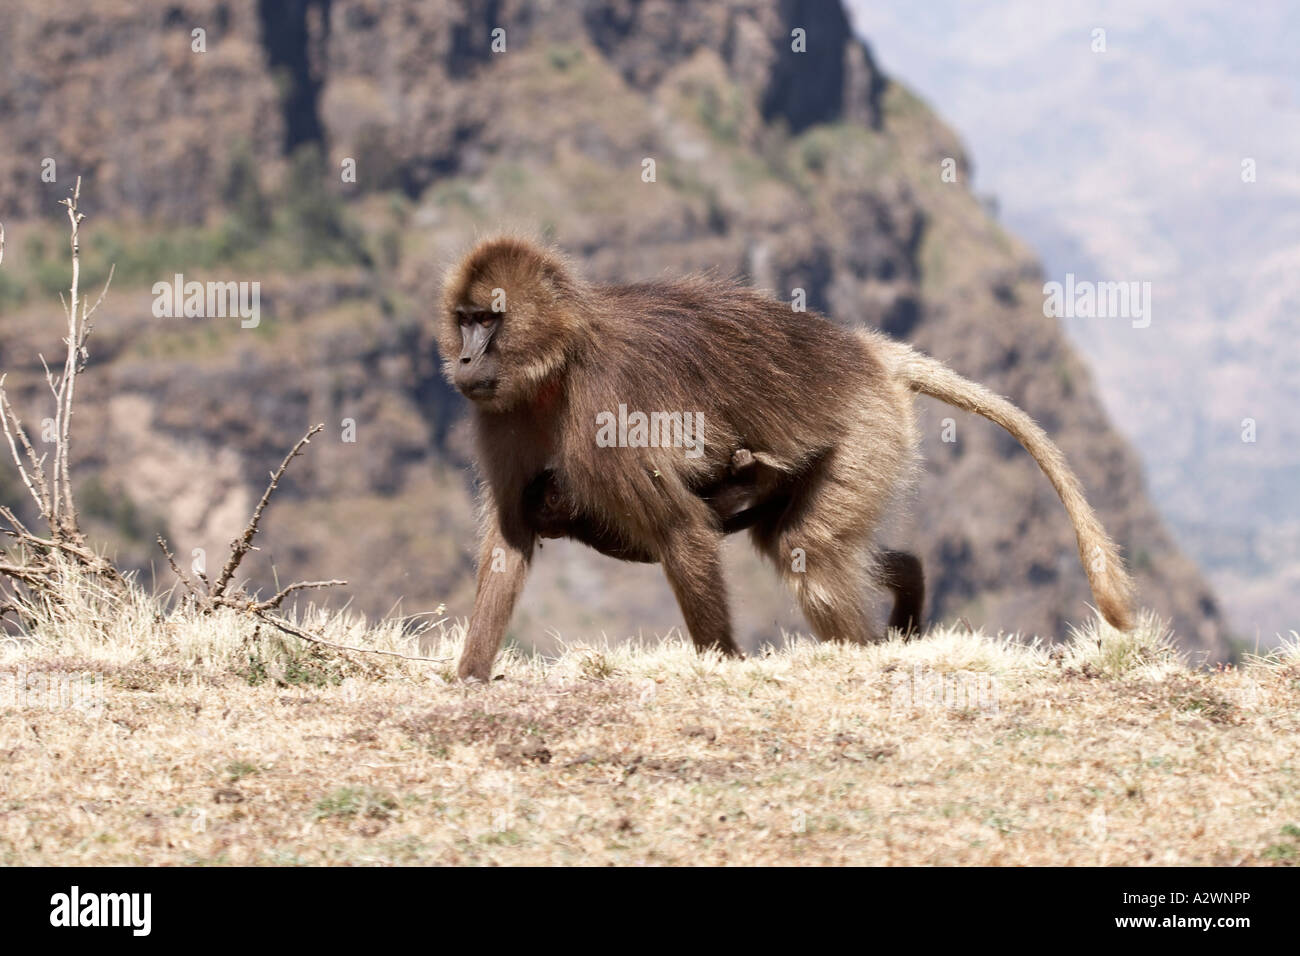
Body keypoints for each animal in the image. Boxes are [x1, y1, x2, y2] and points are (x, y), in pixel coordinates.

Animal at [437, 236, 1134, 681]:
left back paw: (868, 650)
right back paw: (907, 589)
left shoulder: (605, 416)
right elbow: (509, 542)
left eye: (489, 321)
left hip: (866, 433)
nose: (465, 359)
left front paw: (723, 667)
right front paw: (469, 677)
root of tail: (866, 353)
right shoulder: (499, 415)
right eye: (465, 318)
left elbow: (682, 533)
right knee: (794, 538)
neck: (558, 367)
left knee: (810, 549)